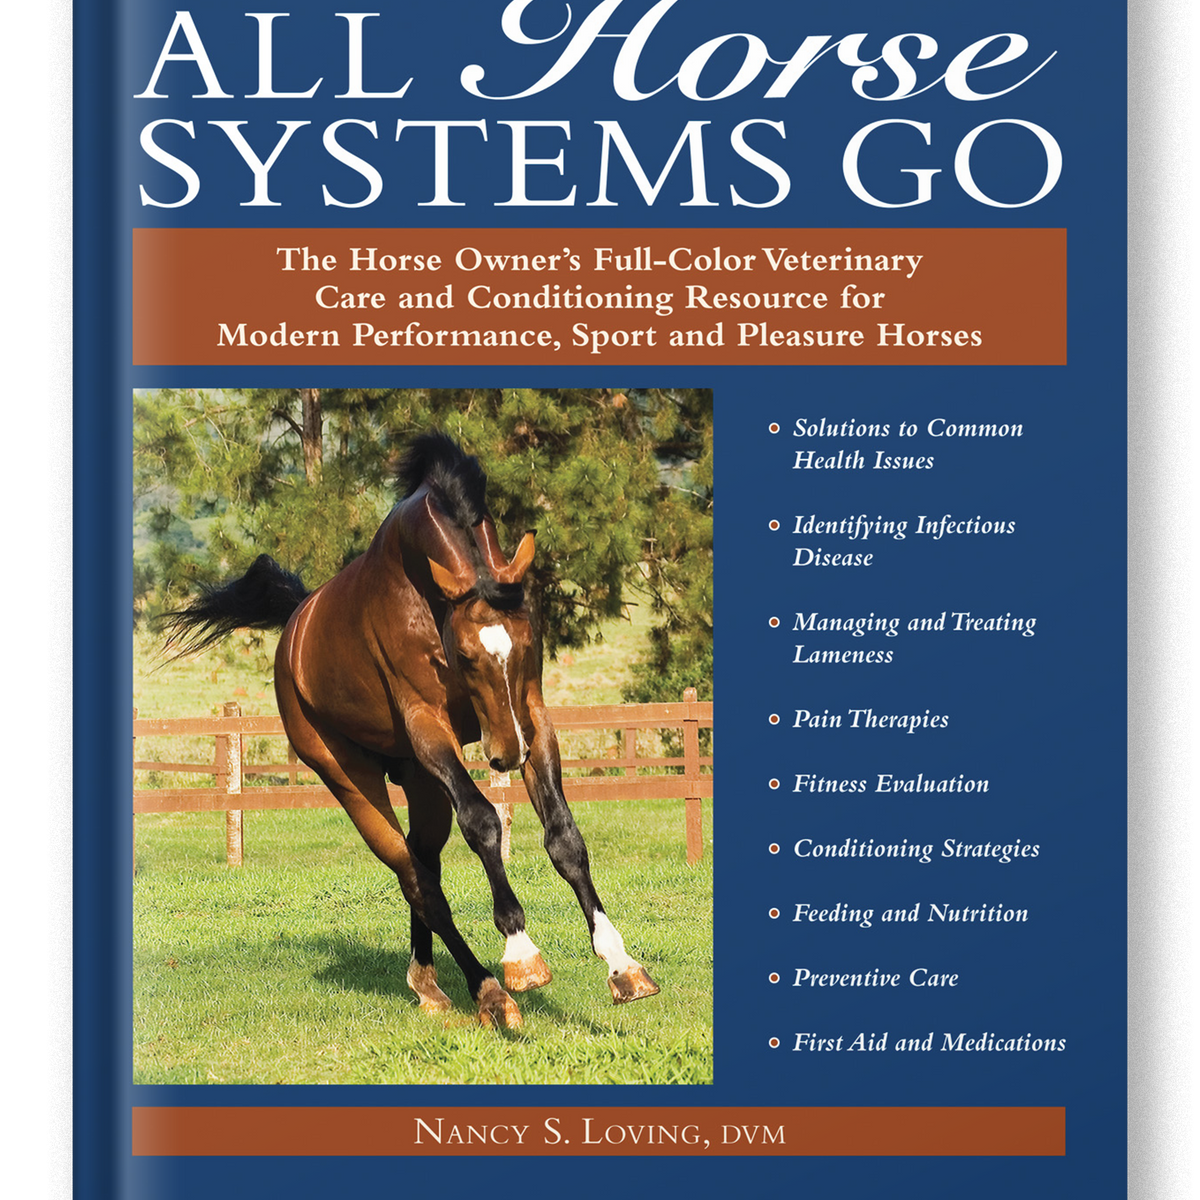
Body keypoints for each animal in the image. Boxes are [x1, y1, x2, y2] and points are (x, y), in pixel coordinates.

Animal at [162, 432, 659, 1028]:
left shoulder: (533, 717)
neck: (425, 599)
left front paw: (621, 964)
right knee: (417, 880)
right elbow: (483, 824)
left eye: (528, 642)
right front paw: (520, 953)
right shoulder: (430, 730)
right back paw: (489, 991)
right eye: (465, 656)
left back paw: (428, 984)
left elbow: (564, 838)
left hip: (422, 782)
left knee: (425, 867)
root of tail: (295, 625)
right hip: (351, 780)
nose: (507, 754)